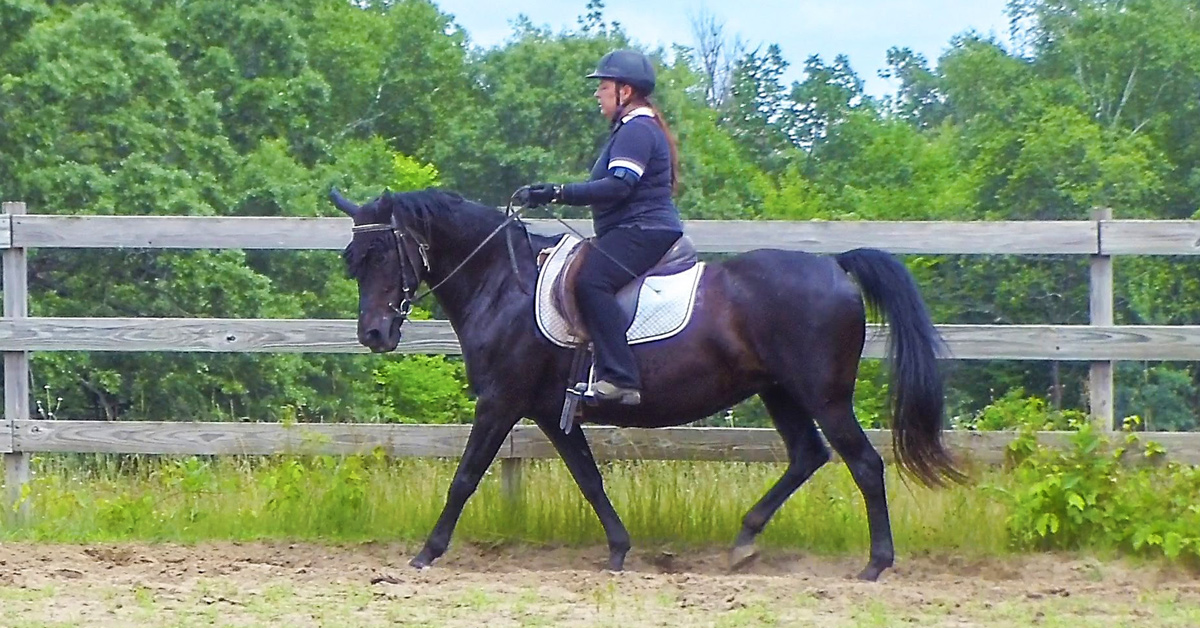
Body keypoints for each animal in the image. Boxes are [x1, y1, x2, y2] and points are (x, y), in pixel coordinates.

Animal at [330, 187, 962, 581]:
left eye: (383, 252)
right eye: (354, 259)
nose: (374, 333)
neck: (504, 285)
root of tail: (835, 265)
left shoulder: (500, 403)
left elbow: (463, 478)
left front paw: (426, 553)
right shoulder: (549, 411)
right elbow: (589, 480)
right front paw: (618, 551)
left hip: (823, 396)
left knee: (864, 464)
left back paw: (876, 563)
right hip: (779, 391)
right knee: (808, 456)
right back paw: (745, 541)